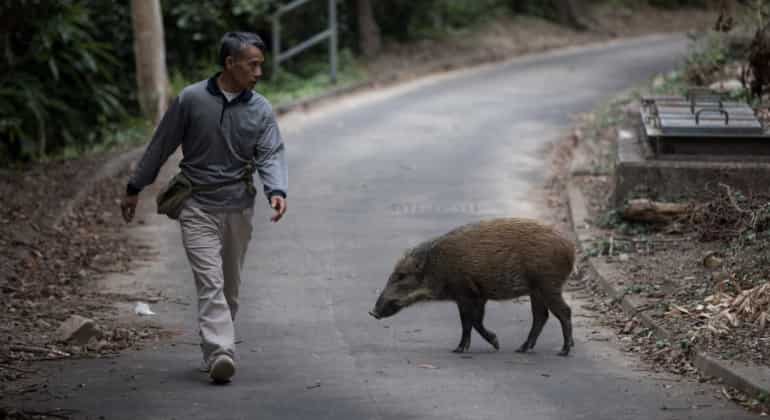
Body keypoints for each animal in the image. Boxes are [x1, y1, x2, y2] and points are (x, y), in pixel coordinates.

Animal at [369, 218, 576, 356]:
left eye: (401, 276)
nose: (373, 312)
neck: (436, 267)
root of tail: (570, 248)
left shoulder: (466, 293)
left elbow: (469, 321)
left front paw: (460, 349)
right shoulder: (477, 295)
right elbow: (473, 321)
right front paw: (492, 344)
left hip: (548, 285)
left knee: (564, 312)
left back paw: (564, 351)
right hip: (537, 290)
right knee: (541, 316)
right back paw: (522, 349)